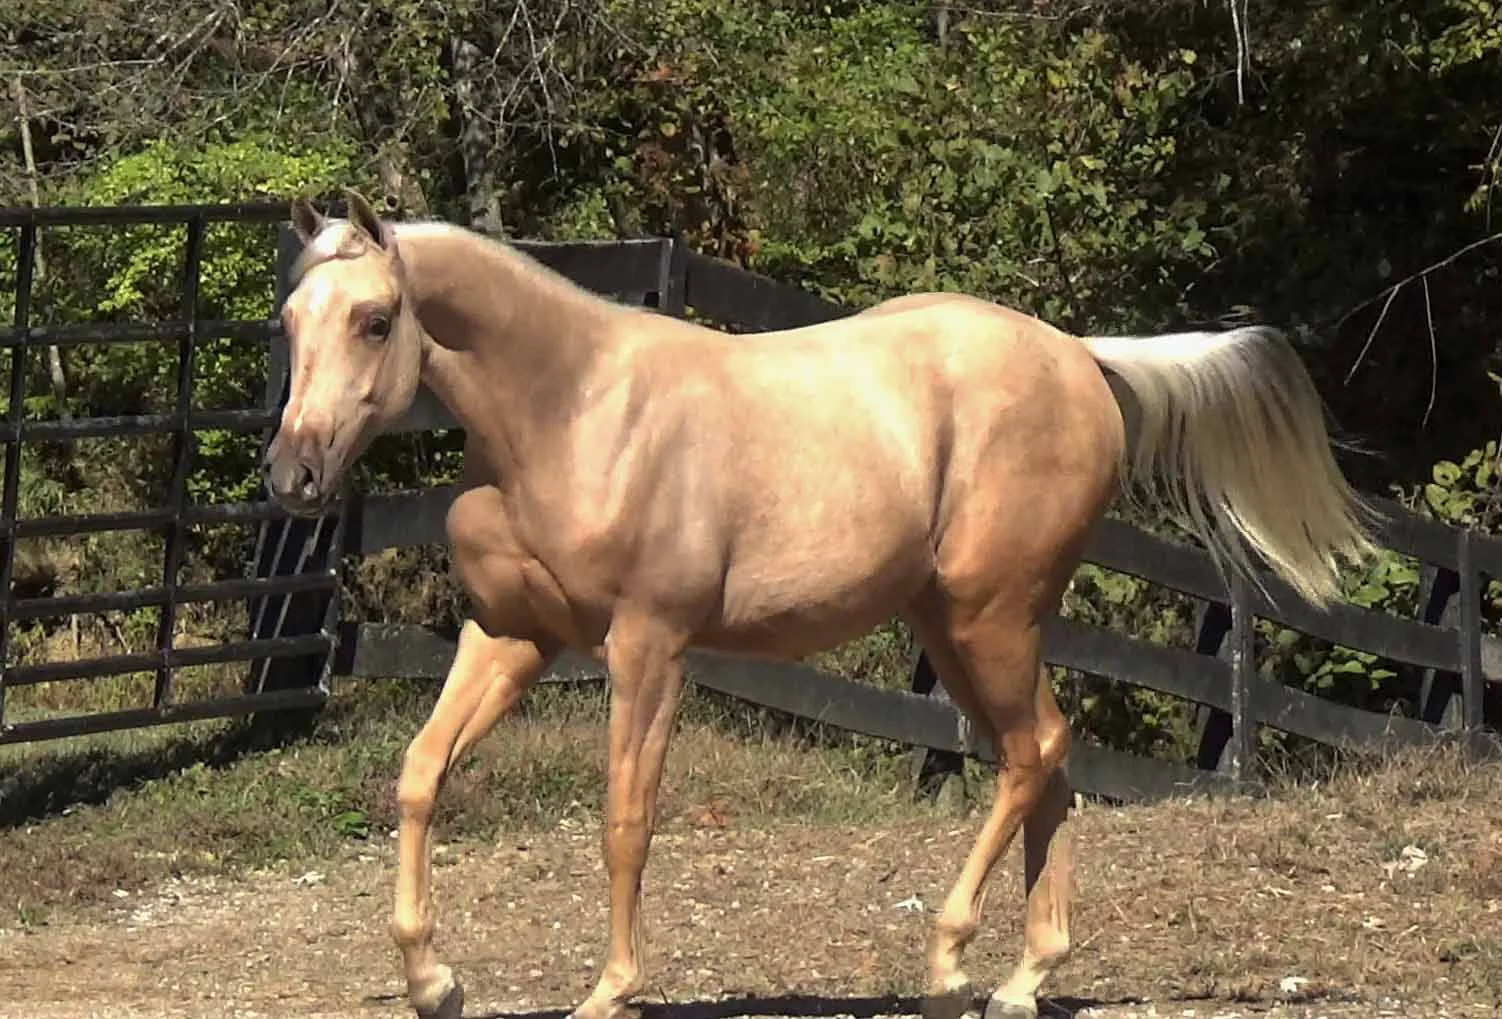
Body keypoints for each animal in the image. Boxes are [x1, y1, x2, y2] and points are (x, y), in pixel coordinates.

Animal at [265, 190, 1375, 1019]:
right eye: (290, 321)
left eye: (374, 319)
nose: (292, 475)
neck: (575, 411)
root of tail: (1078, 354)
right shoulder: (511, 635)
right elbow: (420, 774)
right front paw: (433, 978)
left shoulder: (648, 646)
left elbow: (625, 815)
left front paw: (611, 987)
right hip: (958, 627)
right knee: (1047, 757)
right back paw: (1019, 979)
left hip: (989, 616)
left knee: (1032, 757)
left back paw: (948, 962)